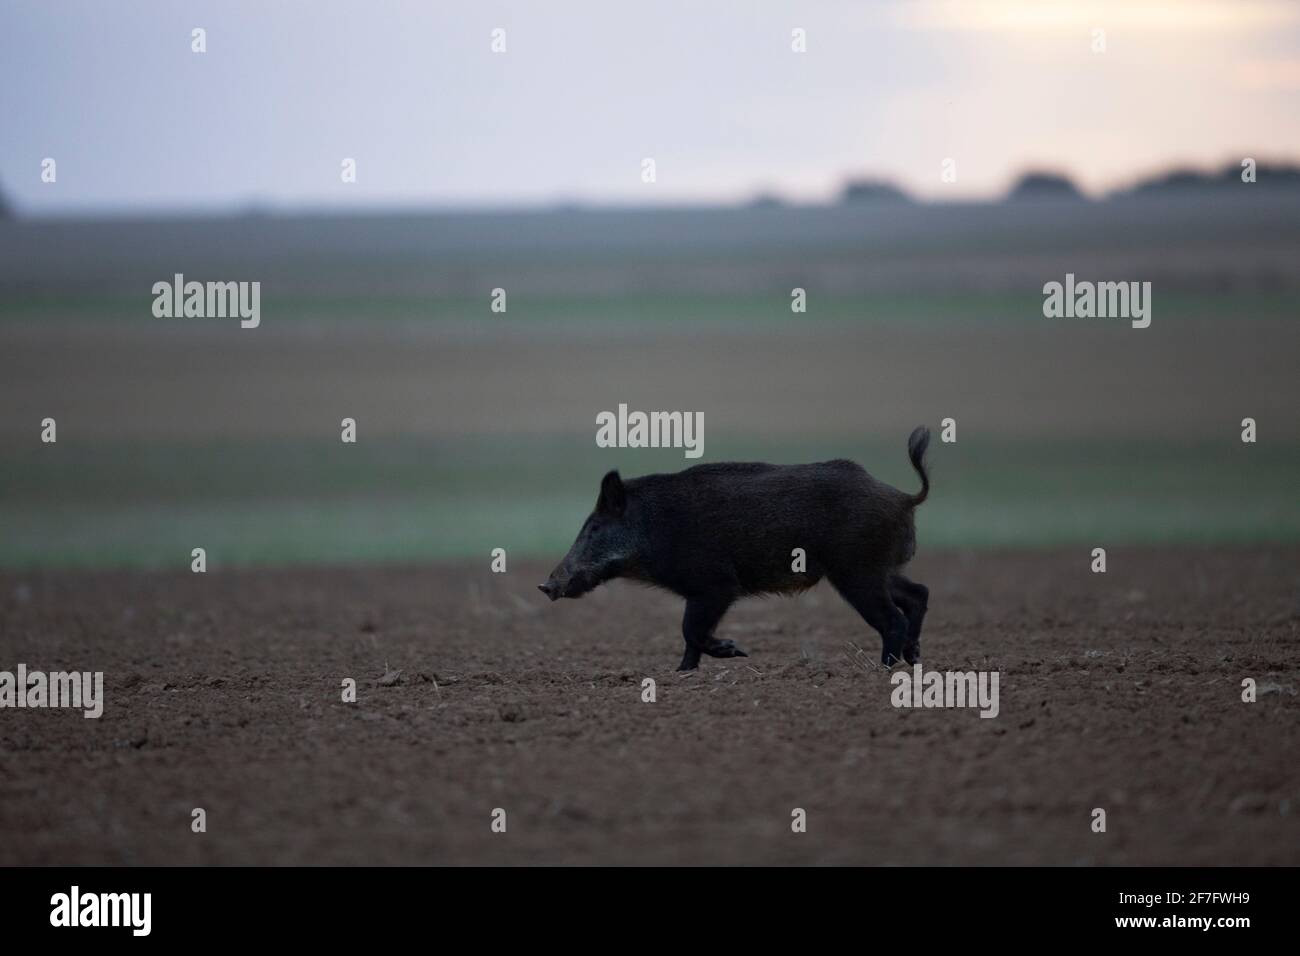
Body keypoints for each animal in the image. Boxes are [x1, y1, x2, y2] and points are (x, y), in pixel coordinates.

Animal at [539, 426, 932, 671]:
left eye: (594, 528)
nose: (546, 585)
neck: (652, 531)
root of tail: (903, 497)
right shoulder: (700, 592)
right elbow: (689, 637)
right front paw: (682, 673)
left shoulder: (717, 584)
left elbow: (691, 630)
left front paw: (735, 651)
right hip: (881, 568)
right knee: (918, 594)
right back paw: (912, 658)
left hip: (857, 570)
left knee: (893, 617)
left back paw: (881, 669)